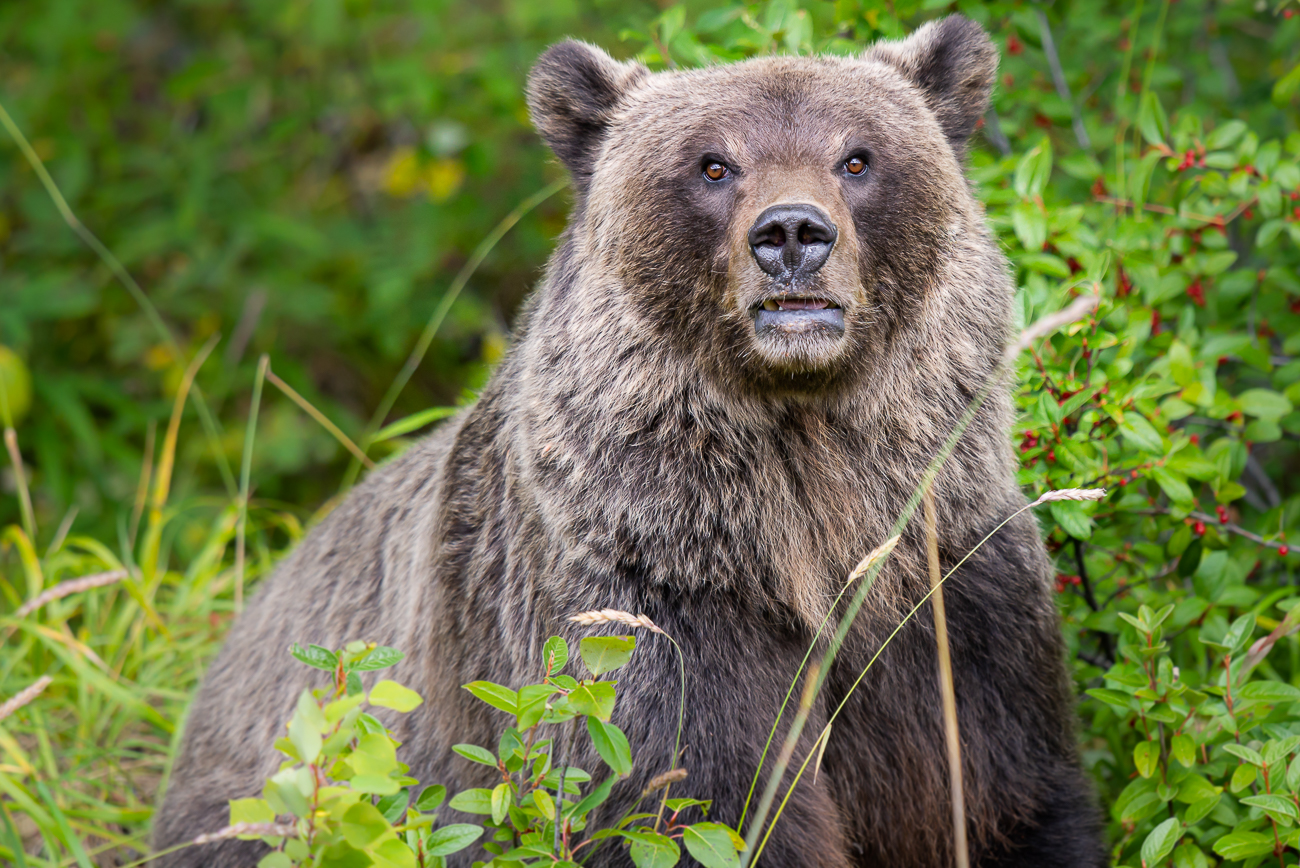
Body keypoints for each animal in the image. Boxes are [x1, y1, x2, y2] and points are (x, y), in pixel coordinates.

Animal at [152, 15, 1106, 868]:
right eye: (714, 163)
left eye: (858, 156)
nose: (792, 234)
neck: (805, 516)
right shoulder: (650, 604)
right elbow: (690, 805)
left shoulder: (952, 597)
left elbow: (1010, 793)